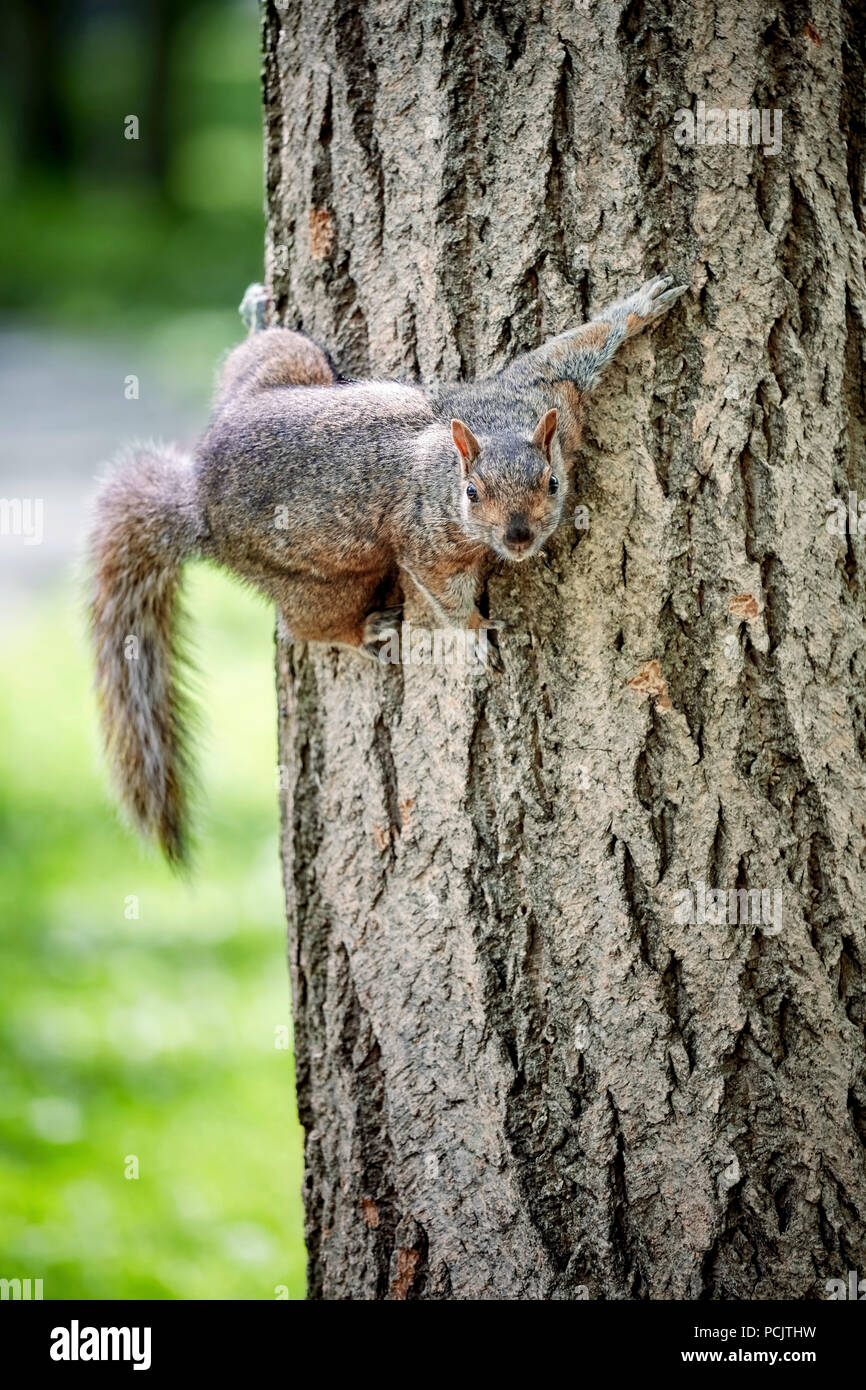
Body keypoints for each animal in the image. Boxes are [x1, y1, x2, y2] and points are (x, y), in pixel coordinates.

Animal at [89, 274, 686, 863]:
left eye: (553, 483)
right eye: (472, 493)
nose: (518, 538)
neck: (470, 446)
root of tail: (200, 499)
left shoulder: (537, 387)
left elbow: (572, 347)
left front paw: (640, 307)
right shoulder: (426, 543)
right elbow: (443, 592)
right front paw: (475, 633)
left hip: (287, 367)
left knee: (258, 356)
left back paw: (257, 318)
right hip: (328, 576)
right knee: (305, 624)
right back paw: (365, 631)